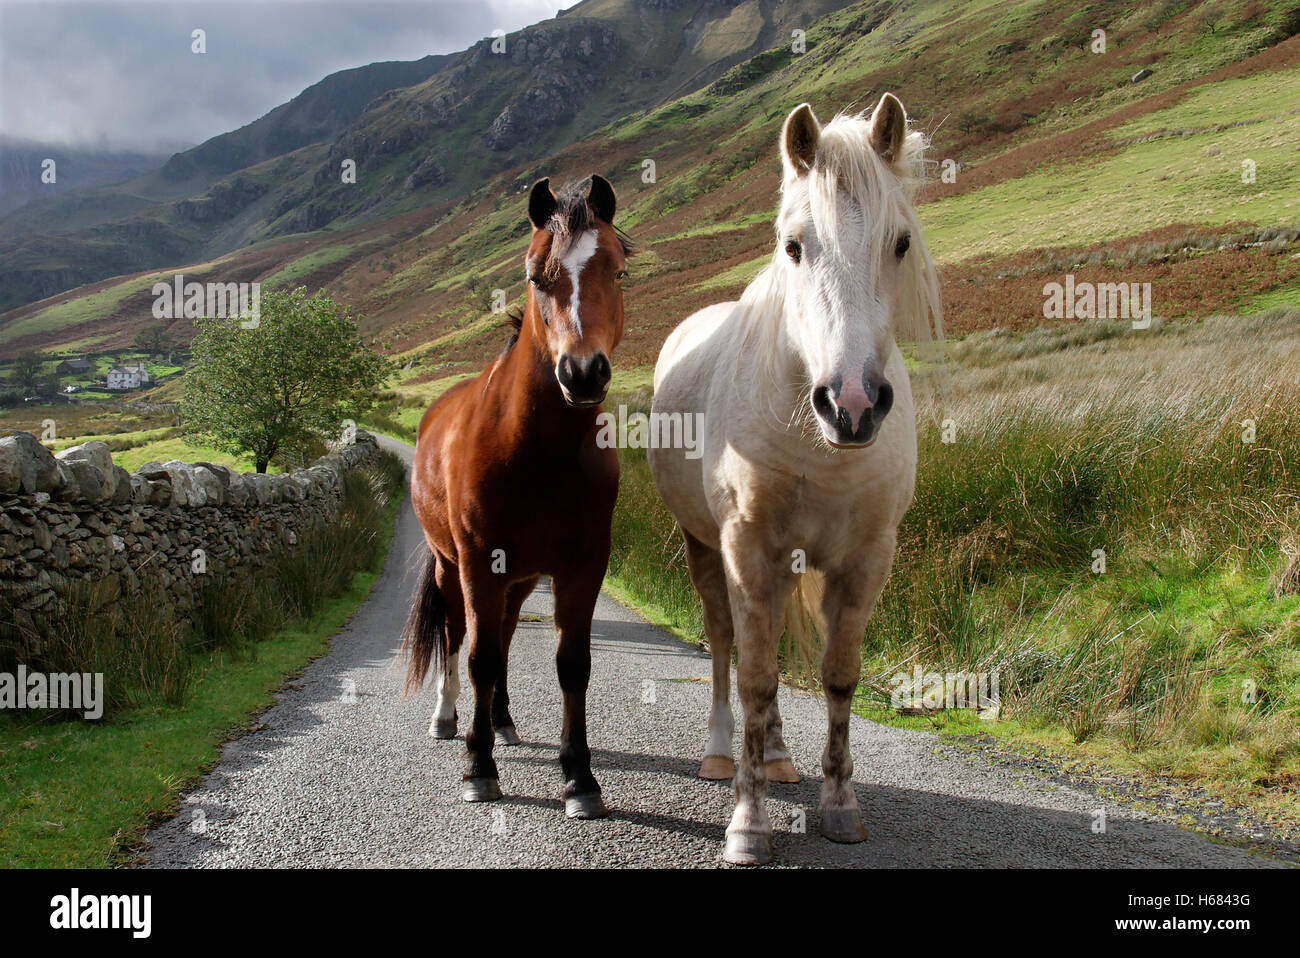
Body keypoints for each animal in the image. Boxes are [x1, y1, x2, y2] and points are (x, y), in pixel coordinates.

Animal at [403, 175, 631, 819]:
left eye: (617, 270)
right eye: (536, 275)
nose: (583, 373)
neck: (537, 451)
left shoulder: (583, 564)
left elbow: (572, 664)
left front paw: (580, 777)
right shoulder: (480, 562)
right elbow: (477, 656)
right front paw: (478, 769)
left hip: (521, 576)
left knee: (503, 635)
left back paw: (501, 720)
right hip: (454, 568)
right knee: (459, 635)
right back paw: (449, 718)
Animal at [647, 94, 942, 864]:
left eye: (900, 243)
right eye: (794, 245)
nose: (853, 403)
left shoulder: (867, 559)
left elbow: (838, 678)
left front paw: (840, 805)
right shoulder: (746, 548)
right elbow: (752, 675)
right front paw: (748, 823)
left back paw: (778, 757)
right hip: (705, 548)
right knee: (726, 645)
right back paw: (724, 753)